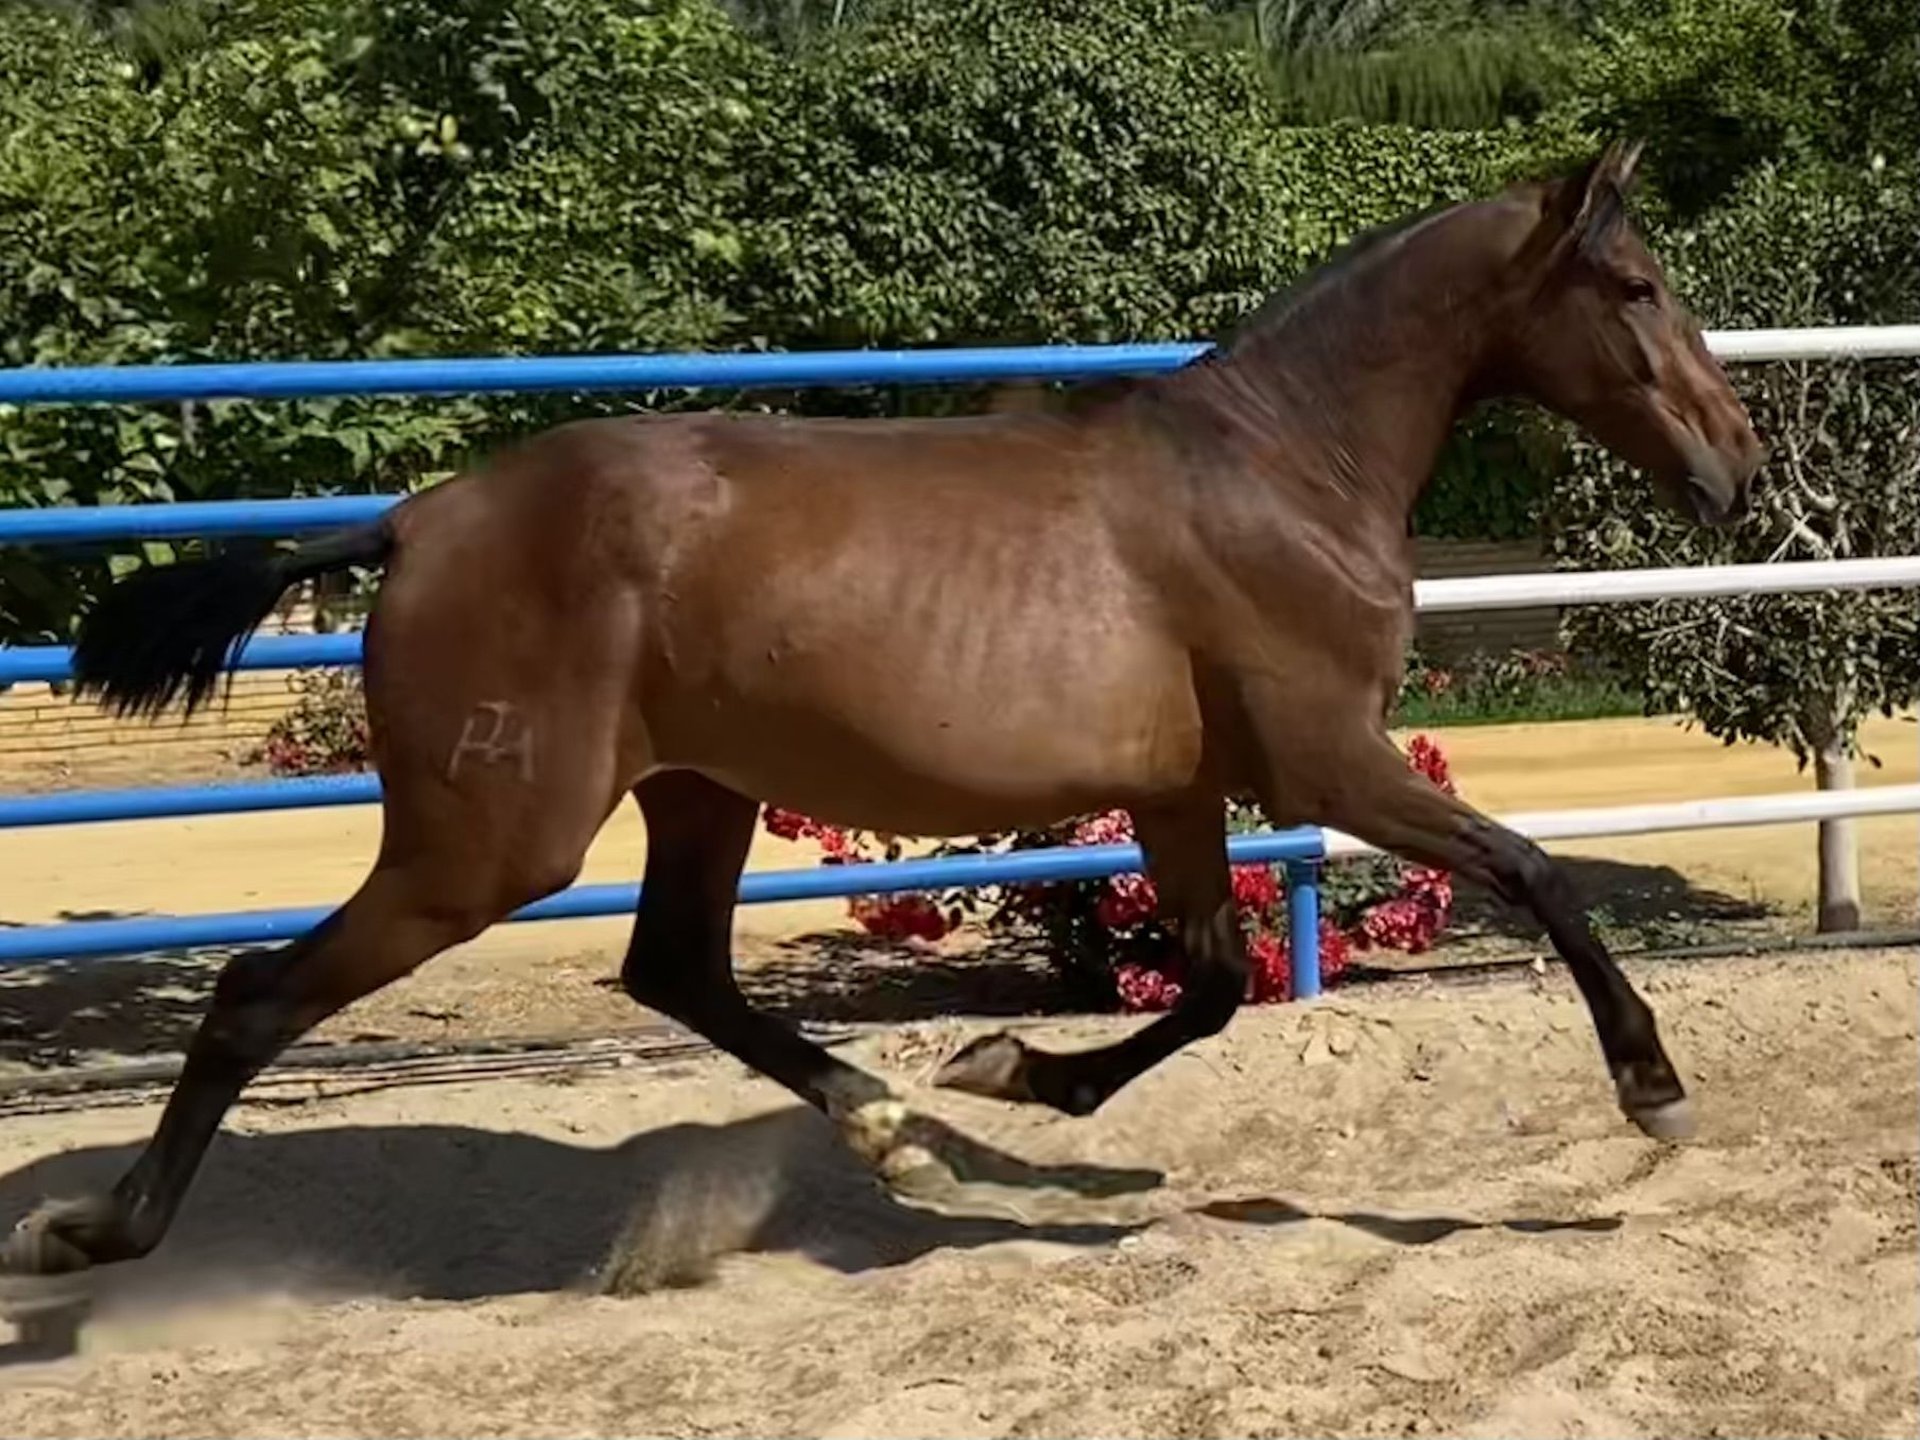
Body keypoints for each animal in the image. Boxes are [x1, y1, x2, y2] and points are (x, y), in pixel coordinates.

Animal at [1, 140, 1762, 1282]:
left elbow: (1208, 985)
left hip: (696, 790)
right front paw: (1656, 1093)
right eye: (1636, 281)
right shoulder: (1328, 764)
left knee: (677, 969)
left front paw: (1008, 1077)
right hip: (489, 842)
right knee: (253, 996)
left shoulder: (1183, 791)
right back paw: (91, 1233)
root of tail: (413, 521)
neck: (1278, 471)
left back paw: (899, 1130)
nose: (1740, 470)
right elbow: (1529, 869)